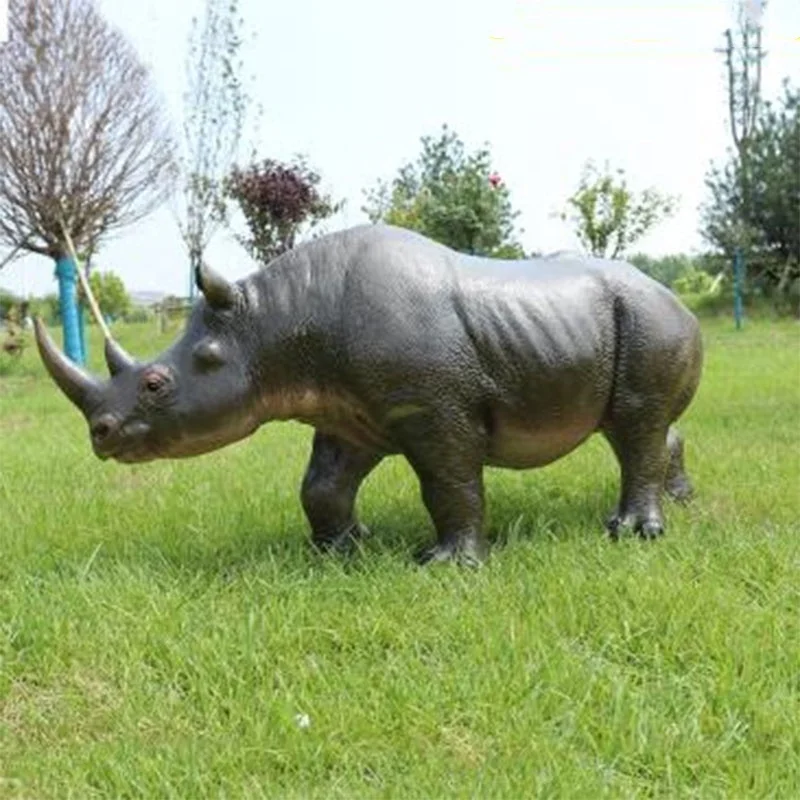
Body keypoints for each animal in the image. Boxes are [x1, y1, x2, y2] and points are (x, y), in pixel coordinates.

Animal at [35, 224, 703, 565]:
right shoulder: (348, 412)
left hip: (647, 318)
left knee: (634, 422)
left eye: (156, 384)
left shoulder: (433, 406)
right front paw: (342, 550)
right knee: (646, 425)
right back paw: (684, 501)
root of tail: (678, 297)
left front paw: (449, 565)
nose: (101, 434)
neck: (274, 326)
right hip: (619, 321)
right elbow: (321, 484)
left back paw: (632, 533)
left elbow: (449, 483)